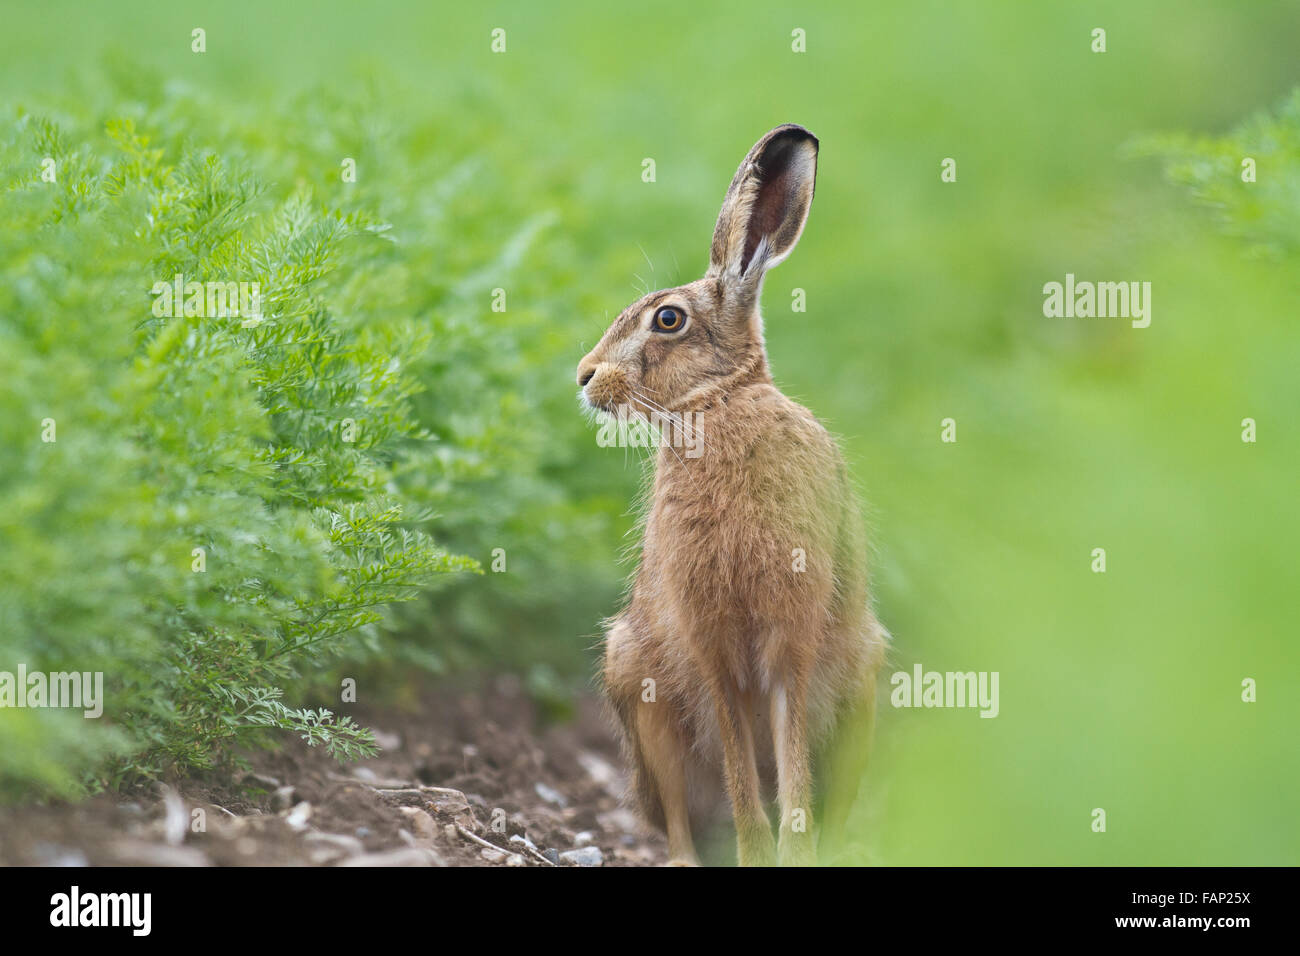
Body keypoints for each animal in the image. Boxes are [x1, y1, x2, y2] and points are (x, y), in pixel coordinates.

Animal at [575, 124, 887, 866]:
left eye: (667, 320)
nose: (584, 377)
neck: (719, 404)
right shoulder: (709, 641)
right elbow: (743, 773)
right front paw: (758, 851)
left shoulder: (790, 634)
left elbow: (790, 763)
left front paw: (793, 853)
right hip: (637, 685)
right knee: (679, 818)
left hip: (862, 677)